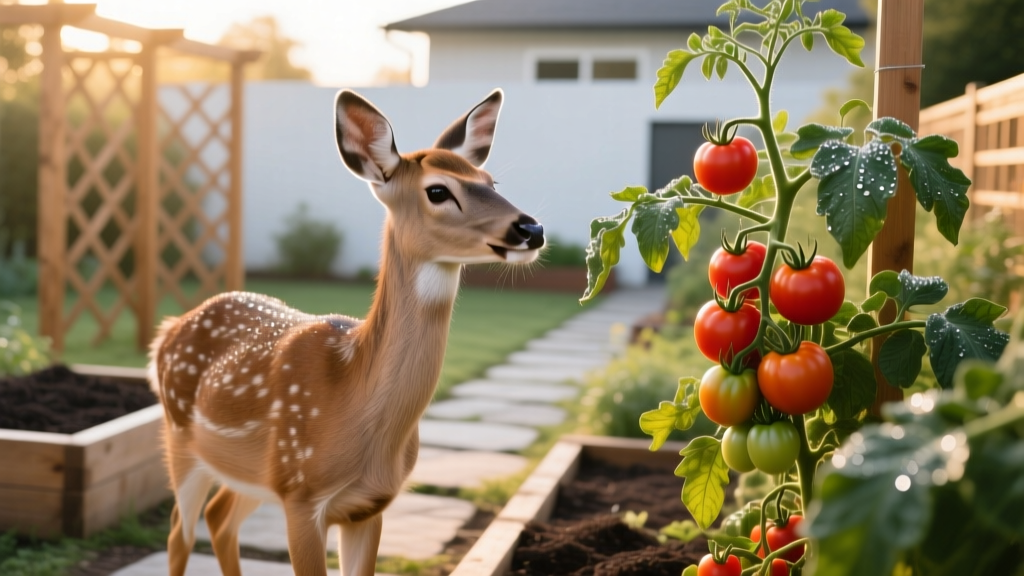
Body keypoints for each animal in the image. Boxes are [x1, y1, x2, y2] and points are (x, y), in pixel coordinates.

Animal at [147, 88, 544, 576]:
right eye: (437, 190)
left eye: (491, 182)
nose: (531, 228)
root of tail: (167, 331)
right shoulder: (301, 494)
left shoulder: (369, 505)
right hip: (181, 441)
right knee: (179, 533)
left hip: (249, 473)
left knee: (220, 517)